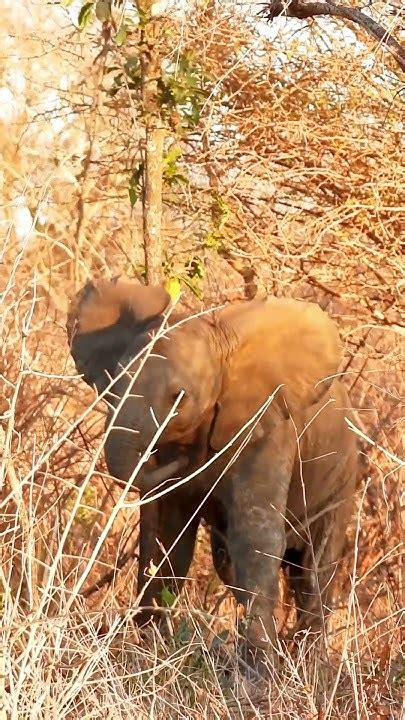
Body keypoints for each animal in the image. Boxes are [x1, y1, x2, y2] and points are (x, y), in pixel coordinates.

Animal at [67, 276, 358, 669]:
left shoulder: (267, 428)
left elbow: (256, 536)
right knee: (232, 565)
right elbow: (167, 538)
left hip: (341, 480)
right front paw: (149, 652)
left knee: (314, 572)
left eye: (179, 397)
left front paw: (257, 670)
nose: (181, 464)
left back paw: (310, 662)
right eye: (116, 382)